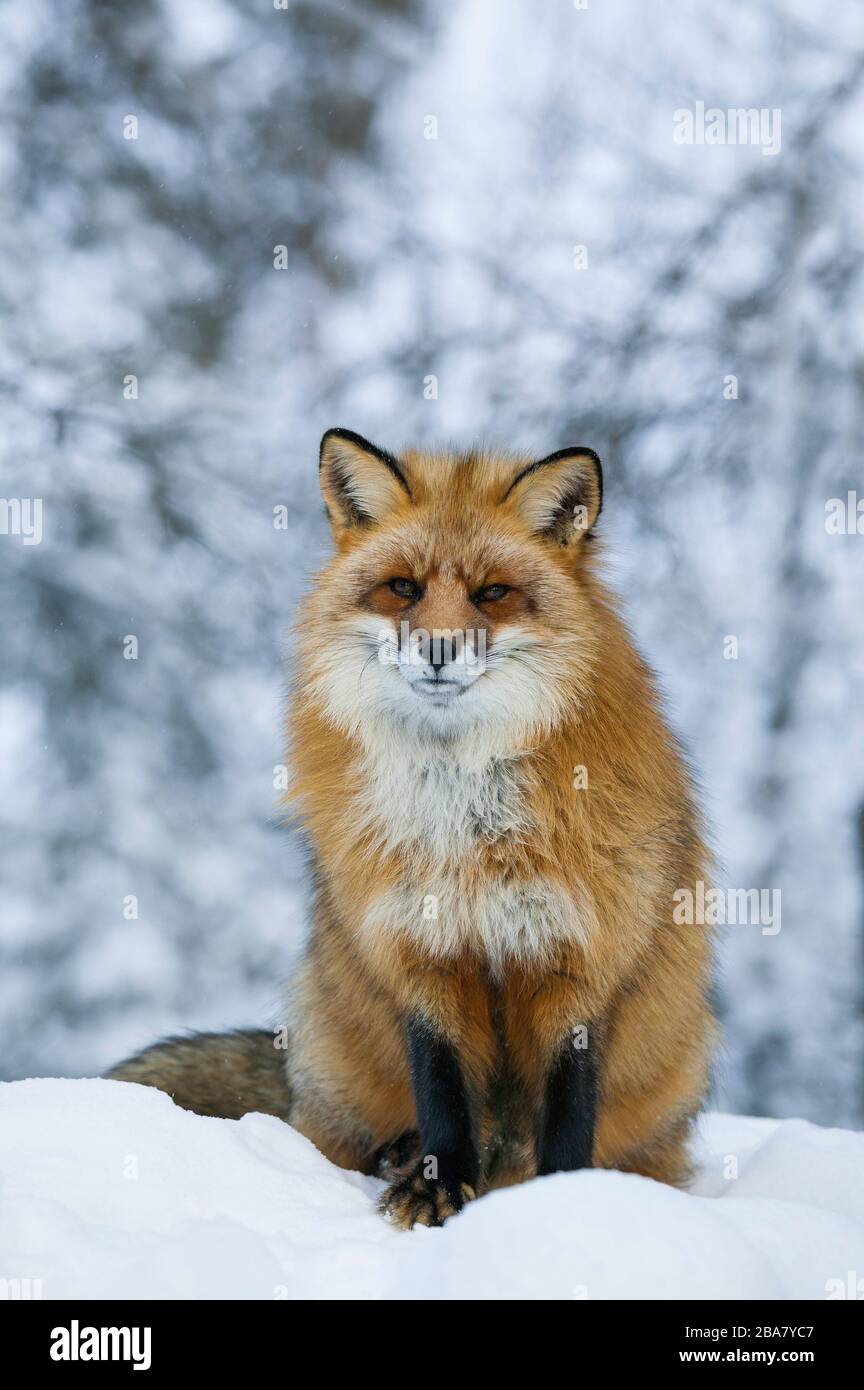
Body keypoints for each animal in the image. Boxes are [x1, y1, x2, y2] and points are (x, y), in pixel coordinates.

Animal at [109, 428, 716, 1229]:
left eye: (492, 593)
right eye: (403, 588)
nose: (438, 648)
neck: (466, 821)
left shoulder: (582, 956)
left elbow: (569, 1108)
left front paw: (565, 1202)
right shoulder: (416, 947)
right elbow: (443, 1088)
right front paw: (437, 1184)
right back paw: (397, 1154)